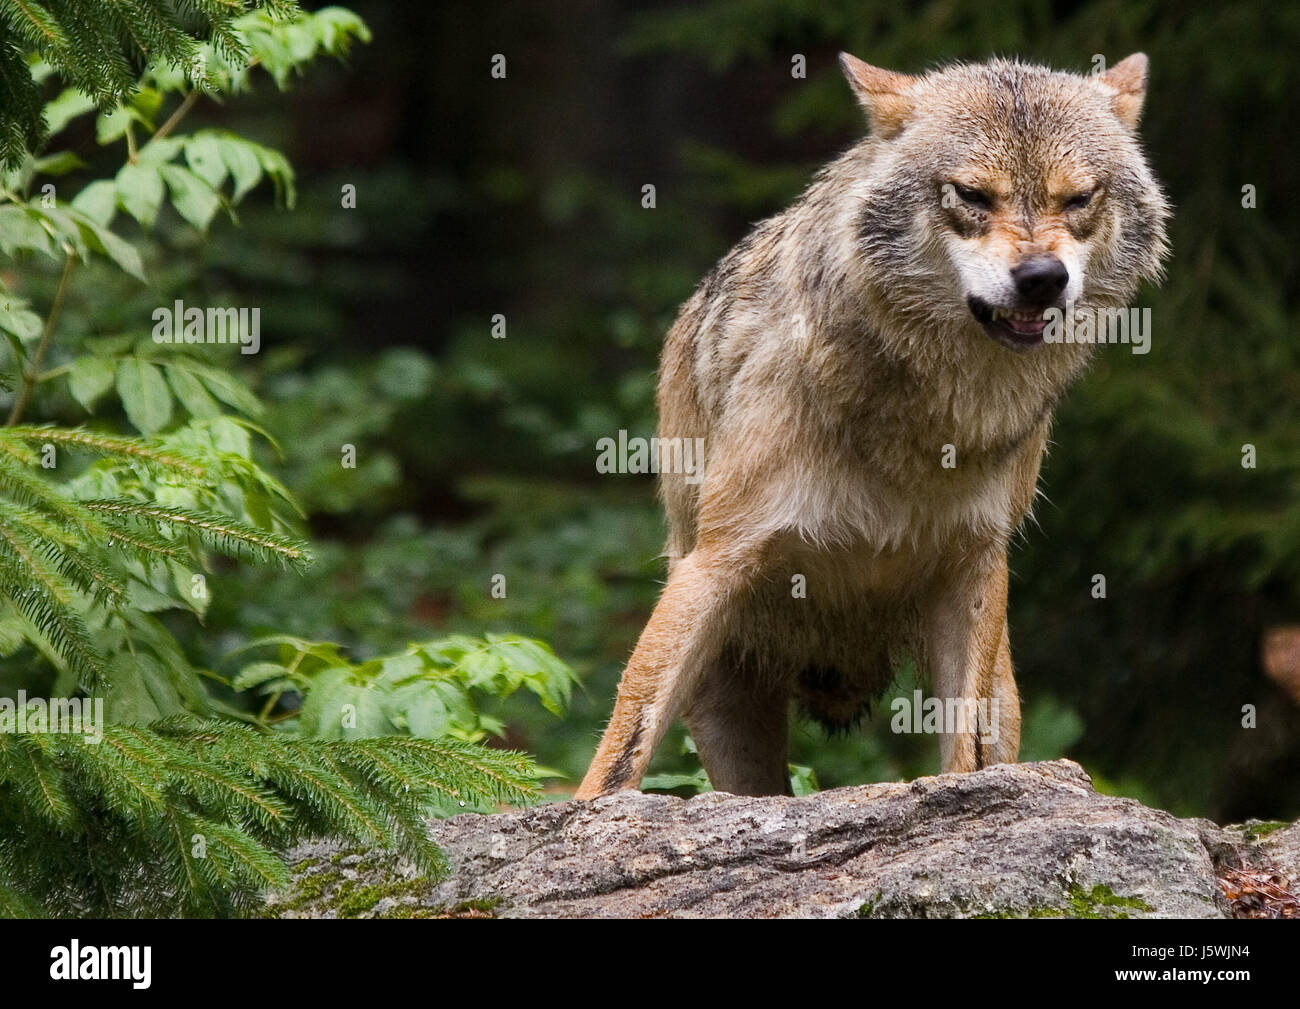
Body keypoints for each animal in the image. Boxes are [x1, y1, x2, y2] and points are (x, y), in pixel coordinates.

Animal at [576, 52, 1169, 799]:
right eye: (972, 195)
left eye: (1079, 198)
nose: (1042, 277)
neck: (928, 422)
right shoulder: (719, 556)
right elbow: (623, 747)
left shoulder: (974, 562)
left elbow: (964, 758)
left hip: (1004, 692)